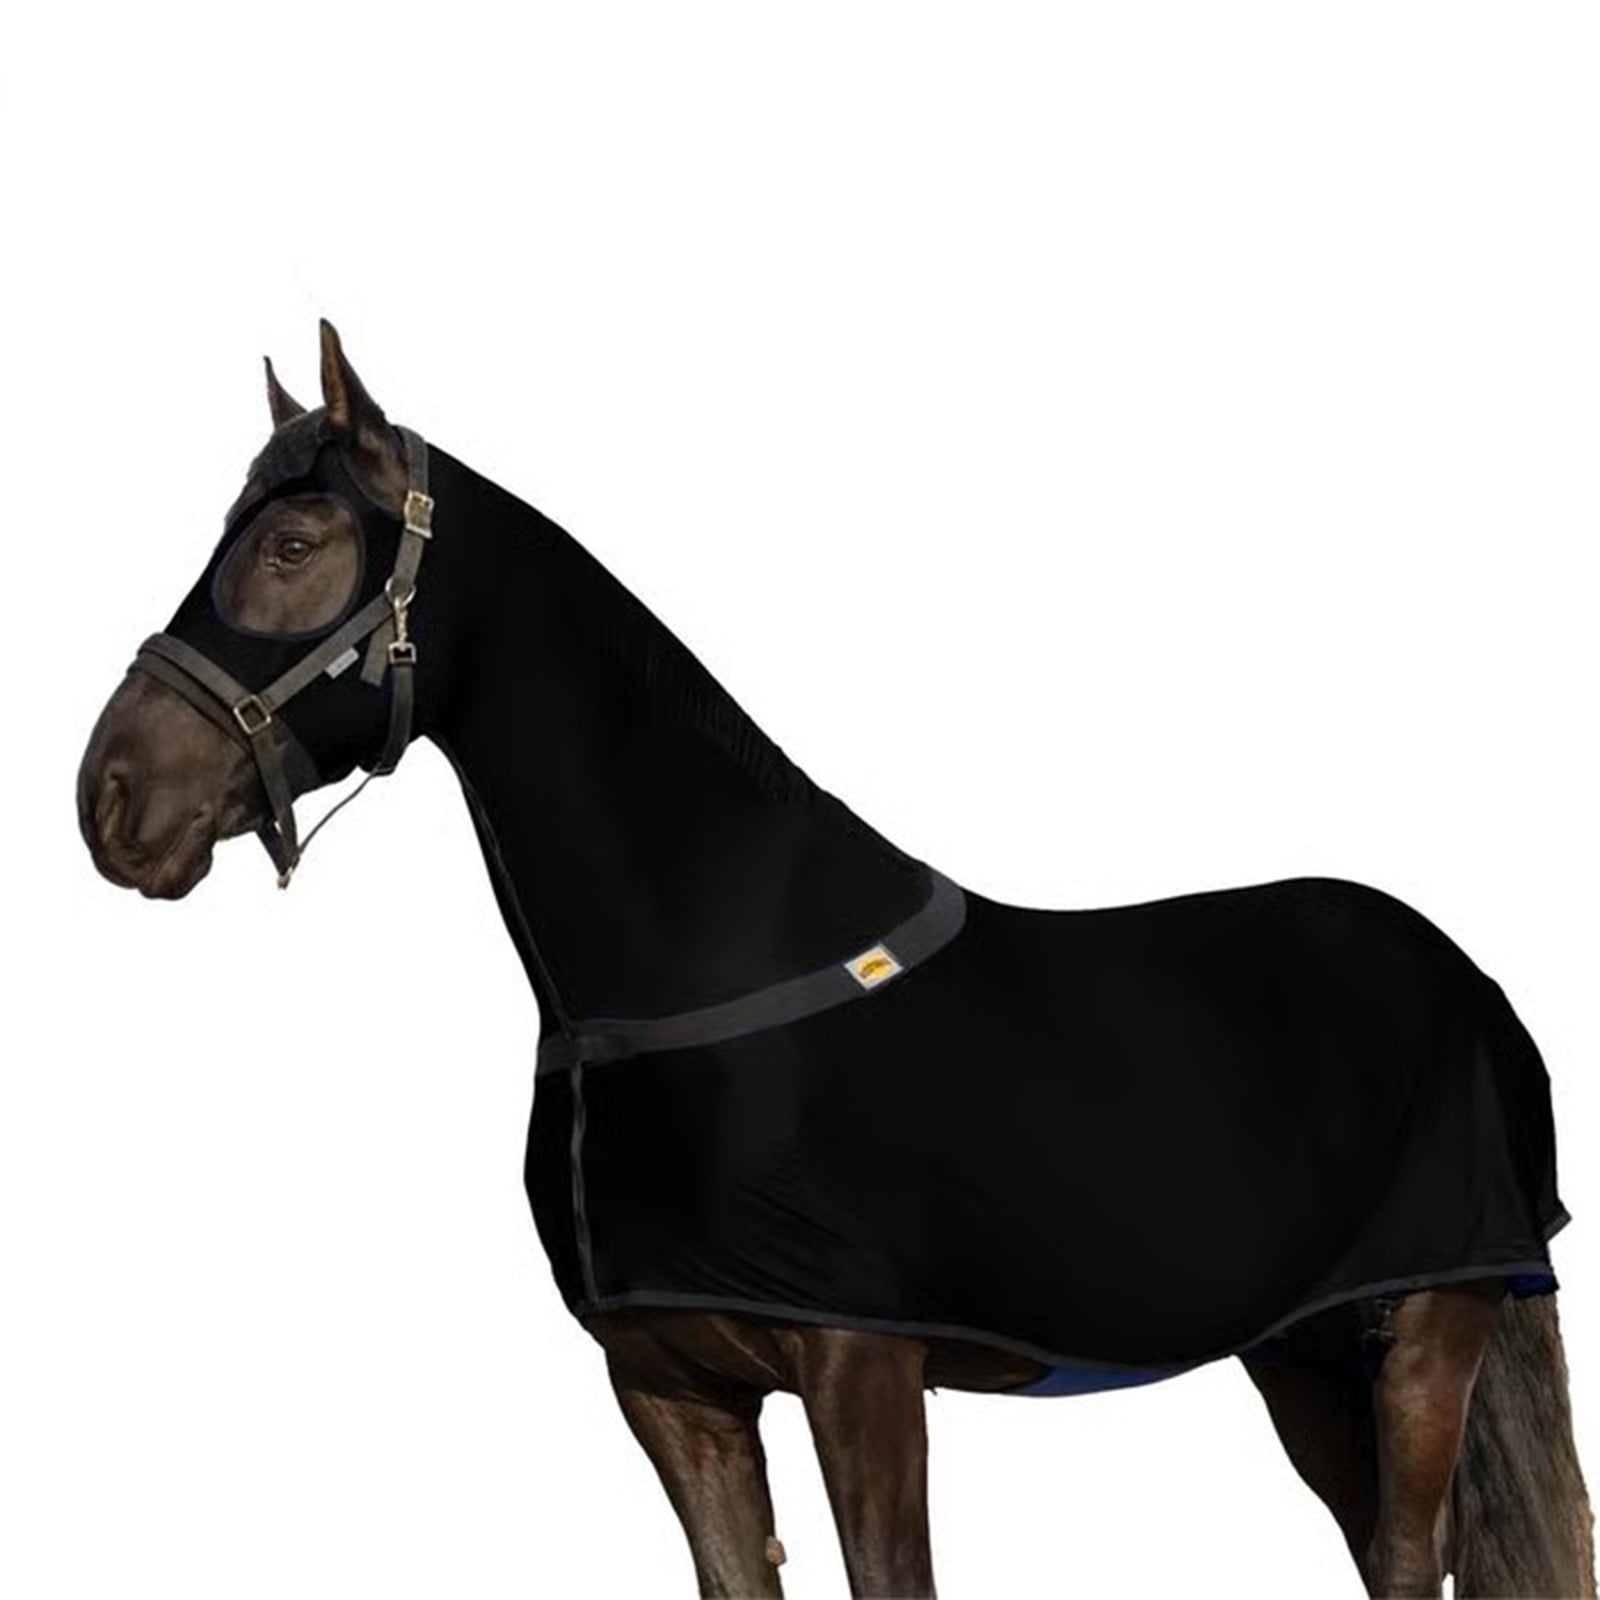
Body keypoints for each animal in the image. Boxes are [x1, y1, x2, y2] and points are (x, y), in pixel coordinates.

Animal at [77, 321, 1593, 1599]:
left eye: (296, 542)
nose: (113, 800)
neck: (699, 966)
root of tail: (1463, 974)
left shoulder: (864, 1371)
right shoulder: (670, 1391)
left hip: (1434, 1322)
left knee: (1408, 1557)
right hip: (1304, 1352)